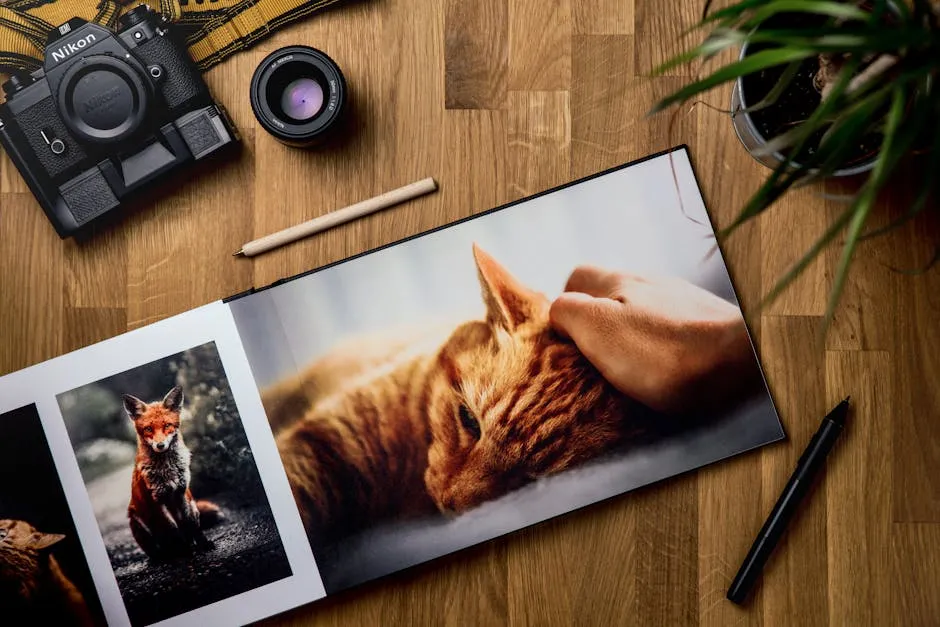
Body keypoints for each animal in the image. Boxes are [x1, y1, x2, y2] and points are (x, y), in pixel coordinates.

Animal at [123, 386, 222, 560]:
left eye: (167, 425)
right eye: (148, 429)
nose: (160, 445)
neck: (168, 471)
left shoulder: (182, 493)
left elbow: (191, 524)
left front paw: (203, 544)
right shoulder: (157, 502)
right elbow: (172, 529)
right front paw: (185, 552)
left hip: (193, 505)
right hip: (136, 521)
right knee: (160, 548)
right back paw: (166, 555)